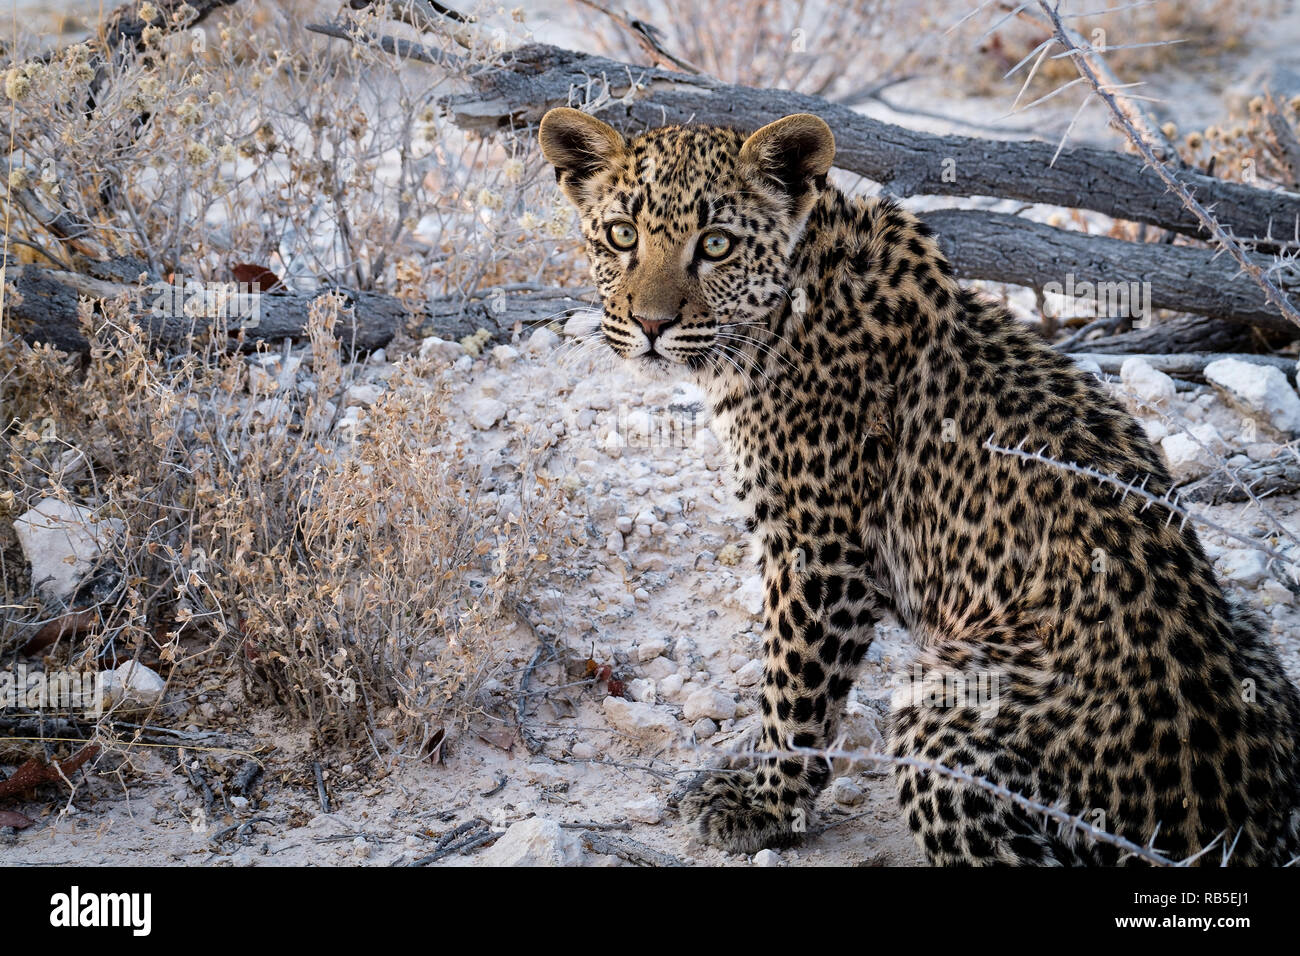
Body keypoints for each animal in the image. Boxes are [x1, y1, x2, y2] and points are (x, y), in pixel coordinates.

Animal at [538, 106, 1300, 865]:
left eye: (717, 244)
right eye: (622, 234)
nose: (650, 325)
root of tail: (1243, 828)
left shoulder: (819, 552)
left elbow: (793, 689)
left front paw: (763, 803)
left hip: (950, 708)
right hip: (1252, 634)